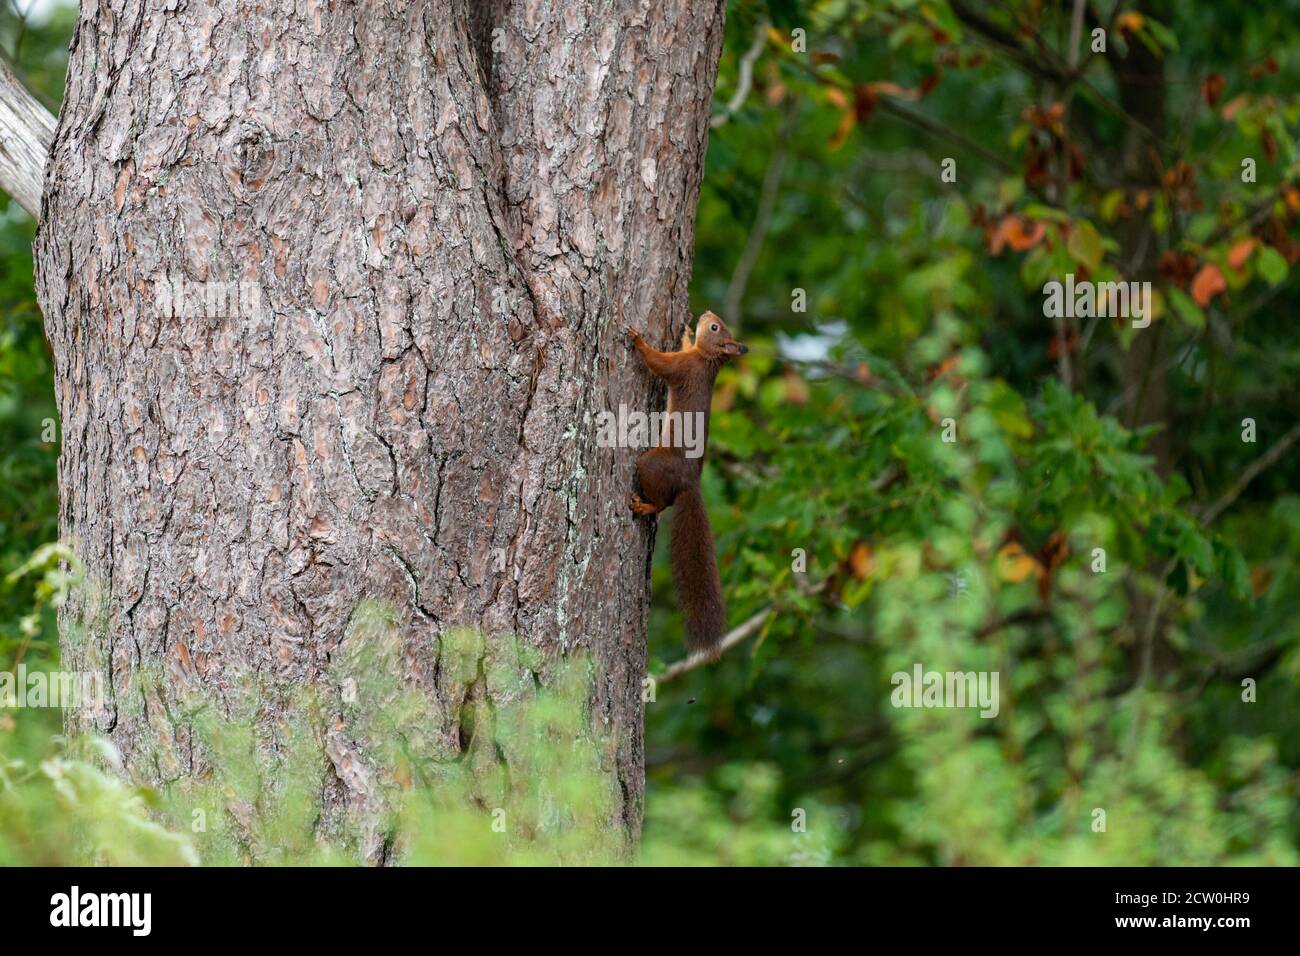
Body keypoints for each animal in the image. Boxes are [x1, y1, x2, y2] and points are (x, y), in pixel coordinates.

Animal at [624, 311, 748, 658]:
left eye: (715, 327)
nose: (706, 314)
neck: (706, 360)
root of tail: (690, 483)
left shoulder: (682, 368)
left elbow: (659, 363)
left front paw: (639, 341)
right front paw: (685, 332)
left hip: (652, 463)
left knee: (662, 502)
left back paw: (644, 505)